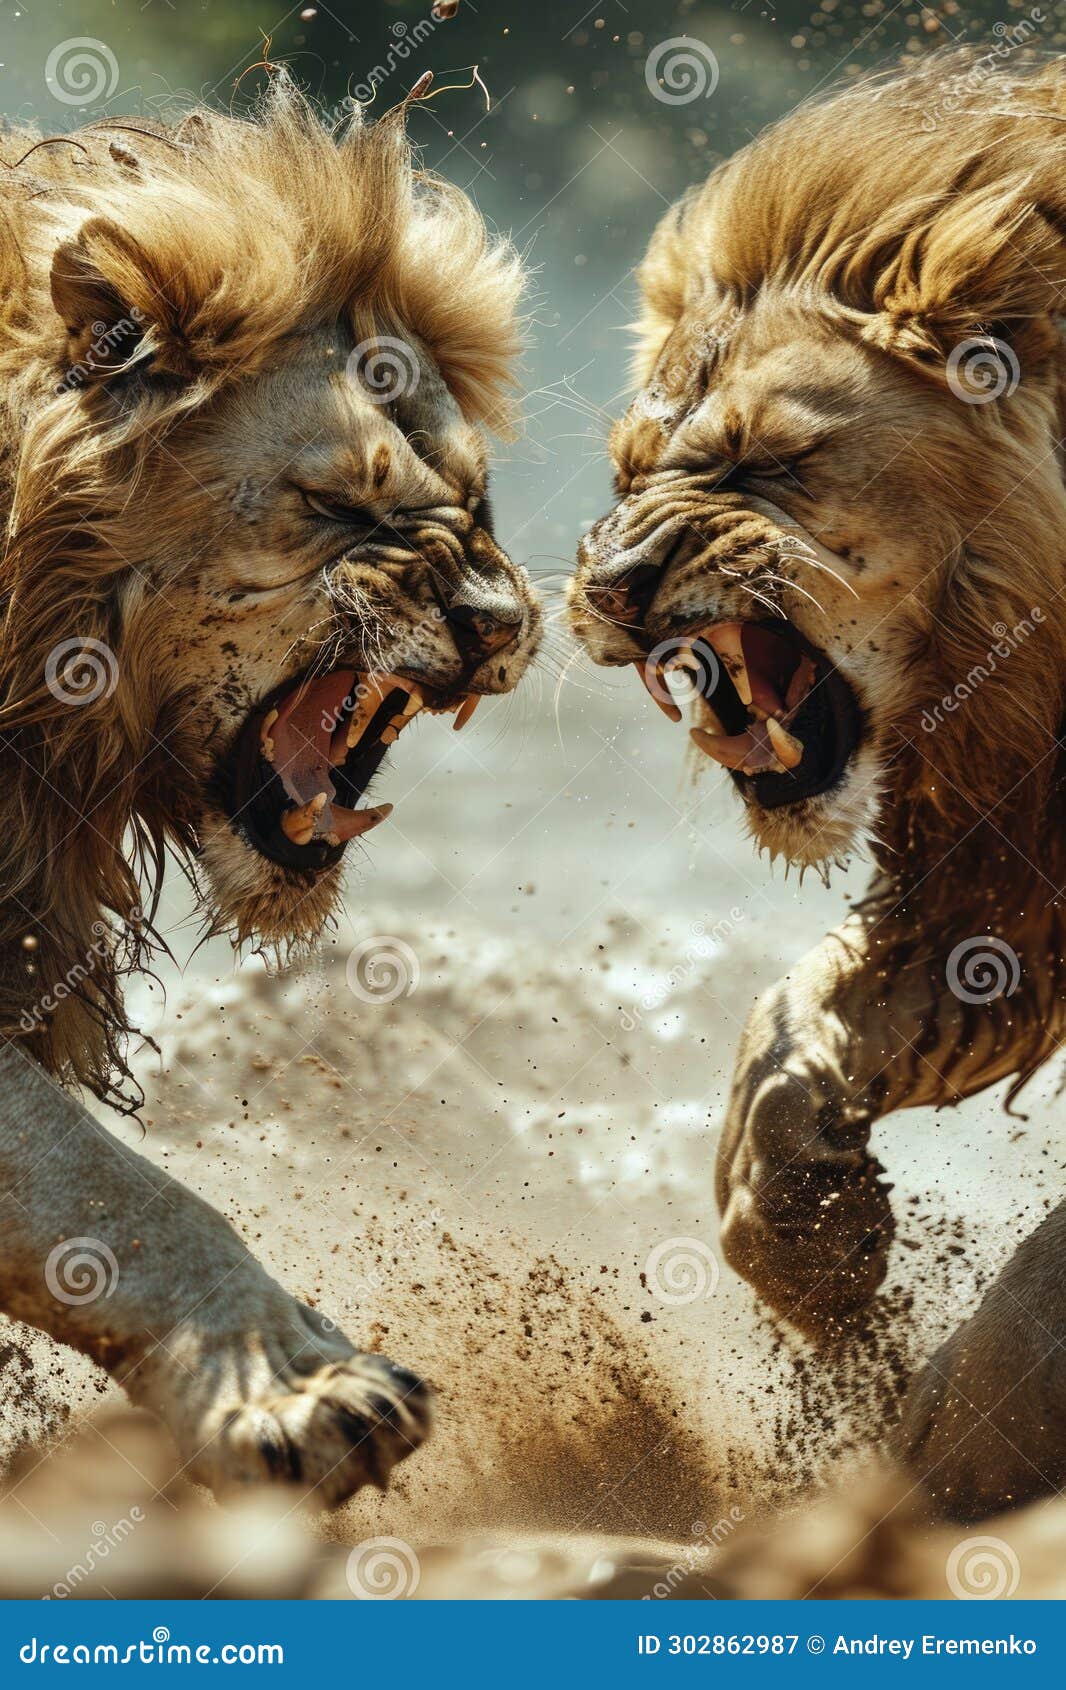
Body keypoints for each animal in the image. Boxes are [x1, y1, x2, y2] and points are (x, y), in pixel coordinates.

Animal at [569, 50, 1066, 1521]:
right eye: (629, 469)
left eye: (767, 460)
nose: (610, 582)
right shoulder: (997, 883)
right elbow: (782, 1042)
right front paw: (819, 1251)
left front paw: (972, 1419)